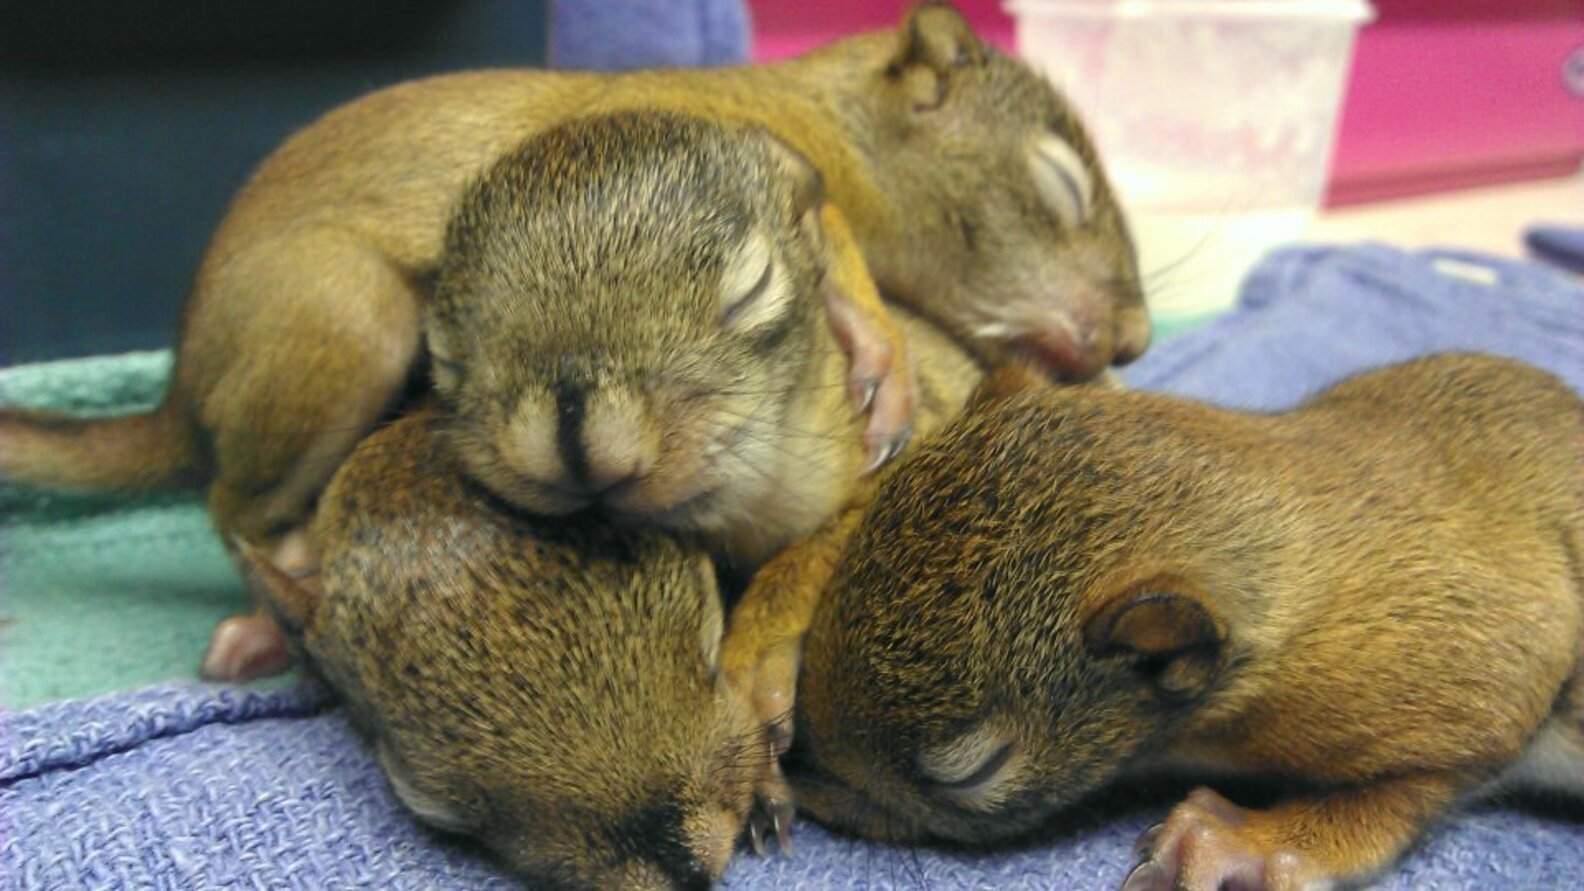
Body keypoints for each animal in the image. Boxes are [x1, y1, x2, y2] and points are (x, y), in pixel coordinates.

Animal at [0, 3, 1136, 680]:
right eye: (1061, 184)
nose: (1132, 339)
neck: (819, 113)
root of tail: (182, 396)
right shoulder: (749, 145)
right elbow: (841, 262)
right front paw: (879, 358)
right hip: (342, 321)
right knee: (231, 506)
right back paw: (267, 599)